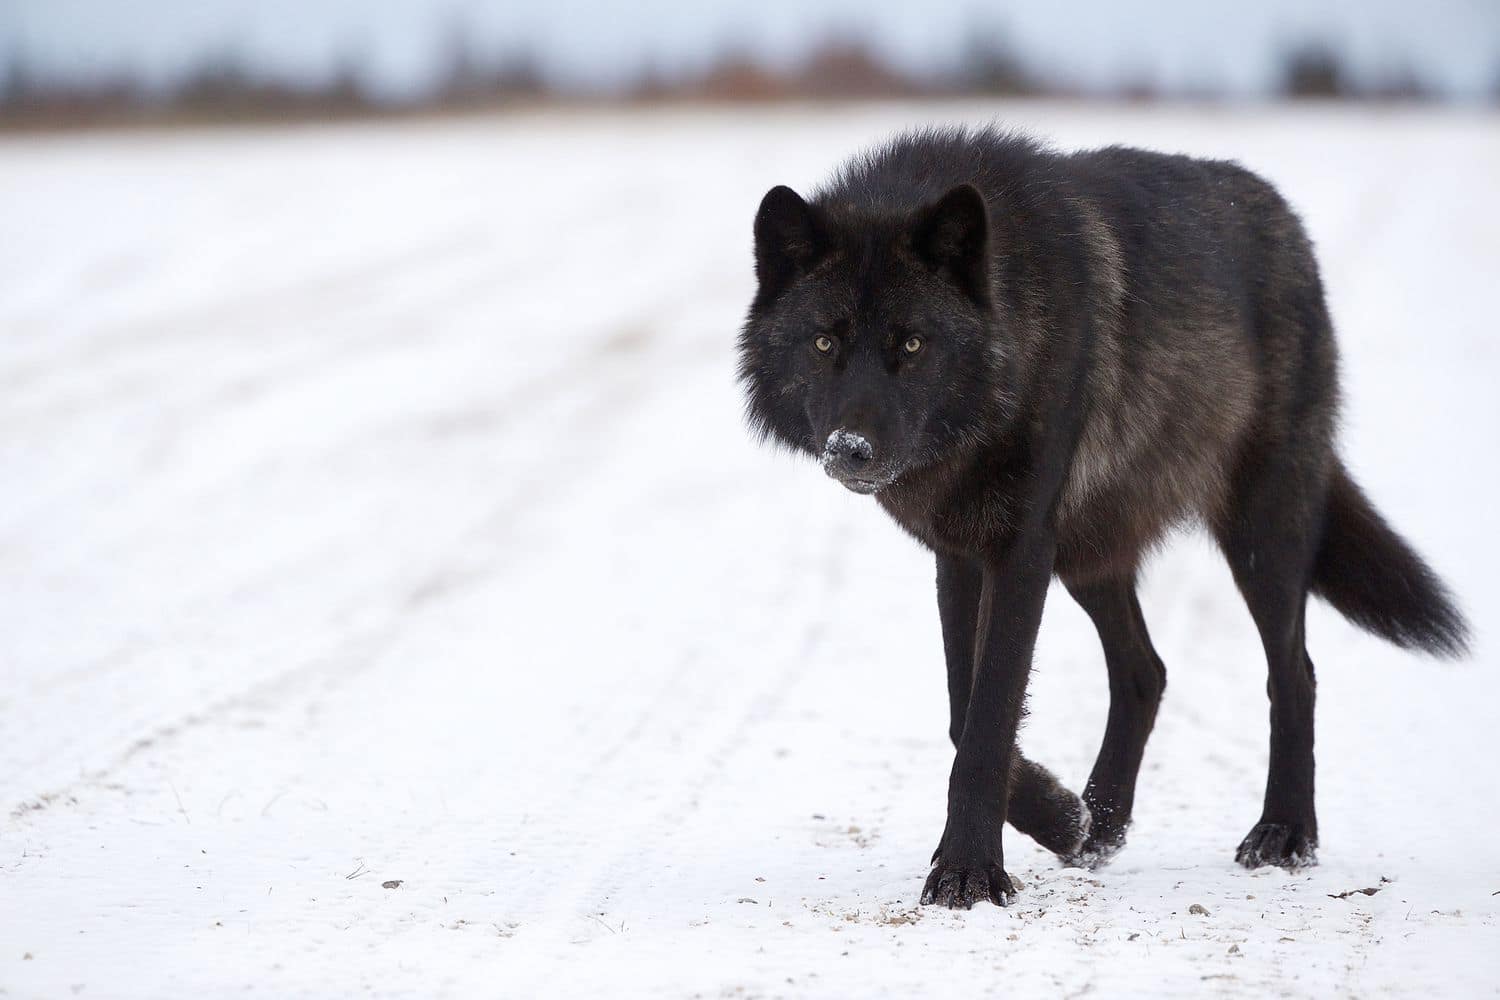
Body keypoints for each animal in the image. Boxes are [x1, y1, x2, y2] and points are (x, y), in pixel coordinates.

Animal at [737, 126, 1469, 909]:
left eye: (911, 344)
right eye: (824, 342)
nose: (852, 449)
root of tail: (1284, 218)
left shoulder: (1021, 548)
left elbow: (987, 716)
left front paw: (969, 872)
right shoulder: (961, 552)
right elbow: (964, 710)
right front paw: (1061, 819)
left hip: (1259, 536)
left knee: (1293, 672)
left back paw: (1285, 834)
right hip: (1090, 554)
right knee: (1146, 671)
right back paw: (1100, 824)